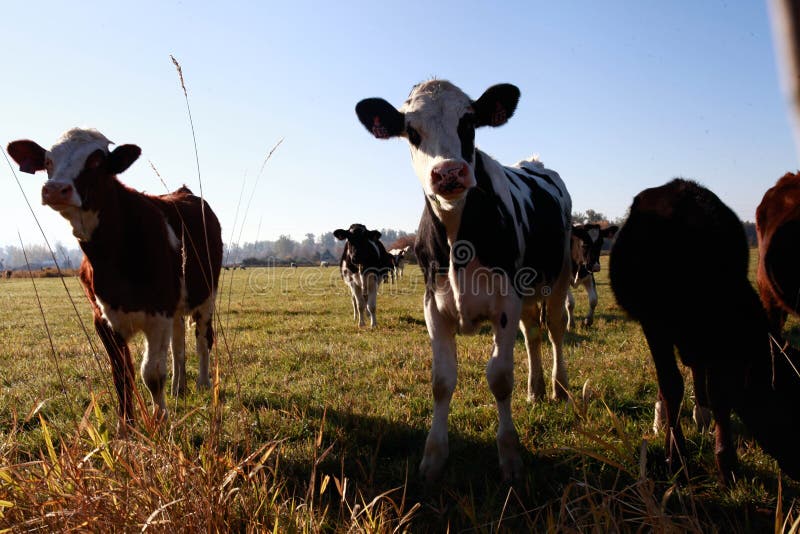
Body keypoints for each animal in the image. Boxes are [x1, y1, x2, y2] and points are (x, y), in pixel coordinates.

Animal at [8, 128, 223, 432]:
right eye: (48, 161)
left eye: (97, 162)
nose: (55, 189)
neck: (114, 252)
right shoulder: (102, 319)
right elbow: (122, 373)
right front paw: (125, 428)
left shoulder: (158, 313)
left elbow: (152, 373)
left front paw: (159, 422)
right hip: (177, 306)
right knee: (178, 345)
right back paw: (178, 388)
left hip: (206, 296)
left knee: (202, 339)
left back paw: (203, 383)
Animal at [356, 80, 573, 482]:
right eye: (411, 131)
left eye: (469, 123)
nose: (448, 172)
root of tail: (534, 163)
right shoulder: (433, 306)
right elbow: (441, 382)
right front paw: (433, 458)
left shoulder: (504, 302)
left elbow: (500, 378)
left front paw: (510, 457)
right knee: (532, 334)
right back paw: (535, 390)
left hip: (560, 274)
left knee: (553, 330)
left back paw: (558, 388)